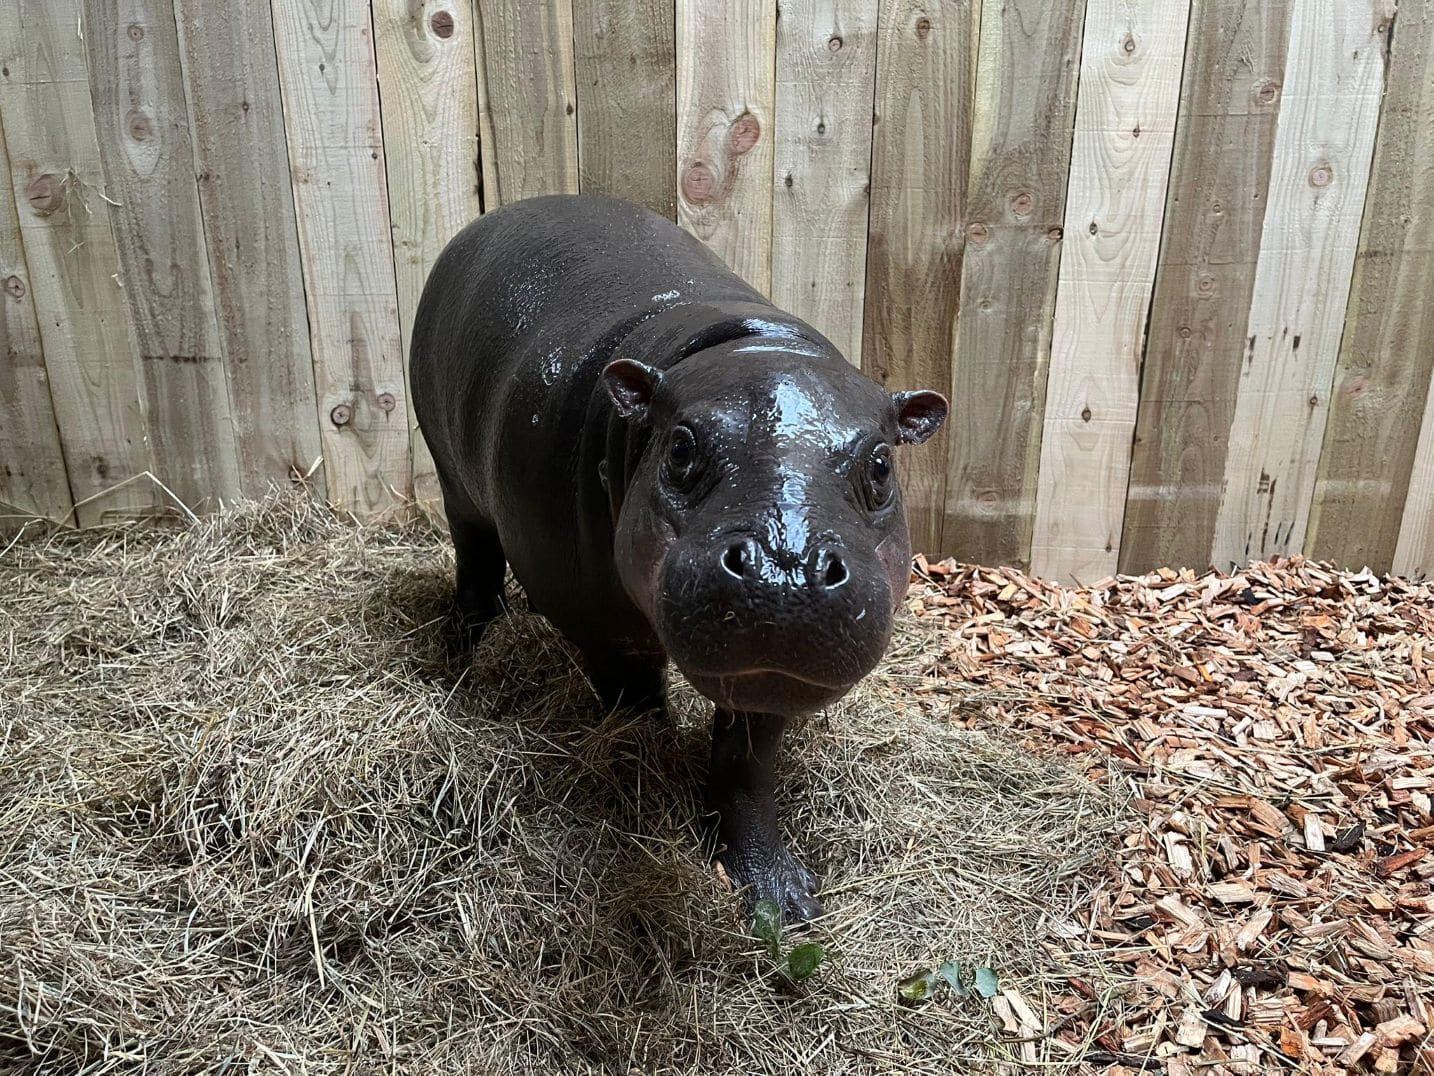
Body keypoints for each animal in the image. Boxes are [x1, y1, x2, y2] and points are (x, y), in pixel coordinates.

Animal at [410, 194, 947, 921]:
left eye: (883, 464)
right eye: (682, 447)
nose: (785, 571)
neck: (745, 344)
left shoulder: (764, 681)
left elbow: (747, 763)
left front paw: (781, 899)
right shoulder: (606, 628)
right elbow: (639, 712)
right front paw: (652, 807)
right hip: (453, 478)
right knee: (475, 561)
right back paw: (460, 653)